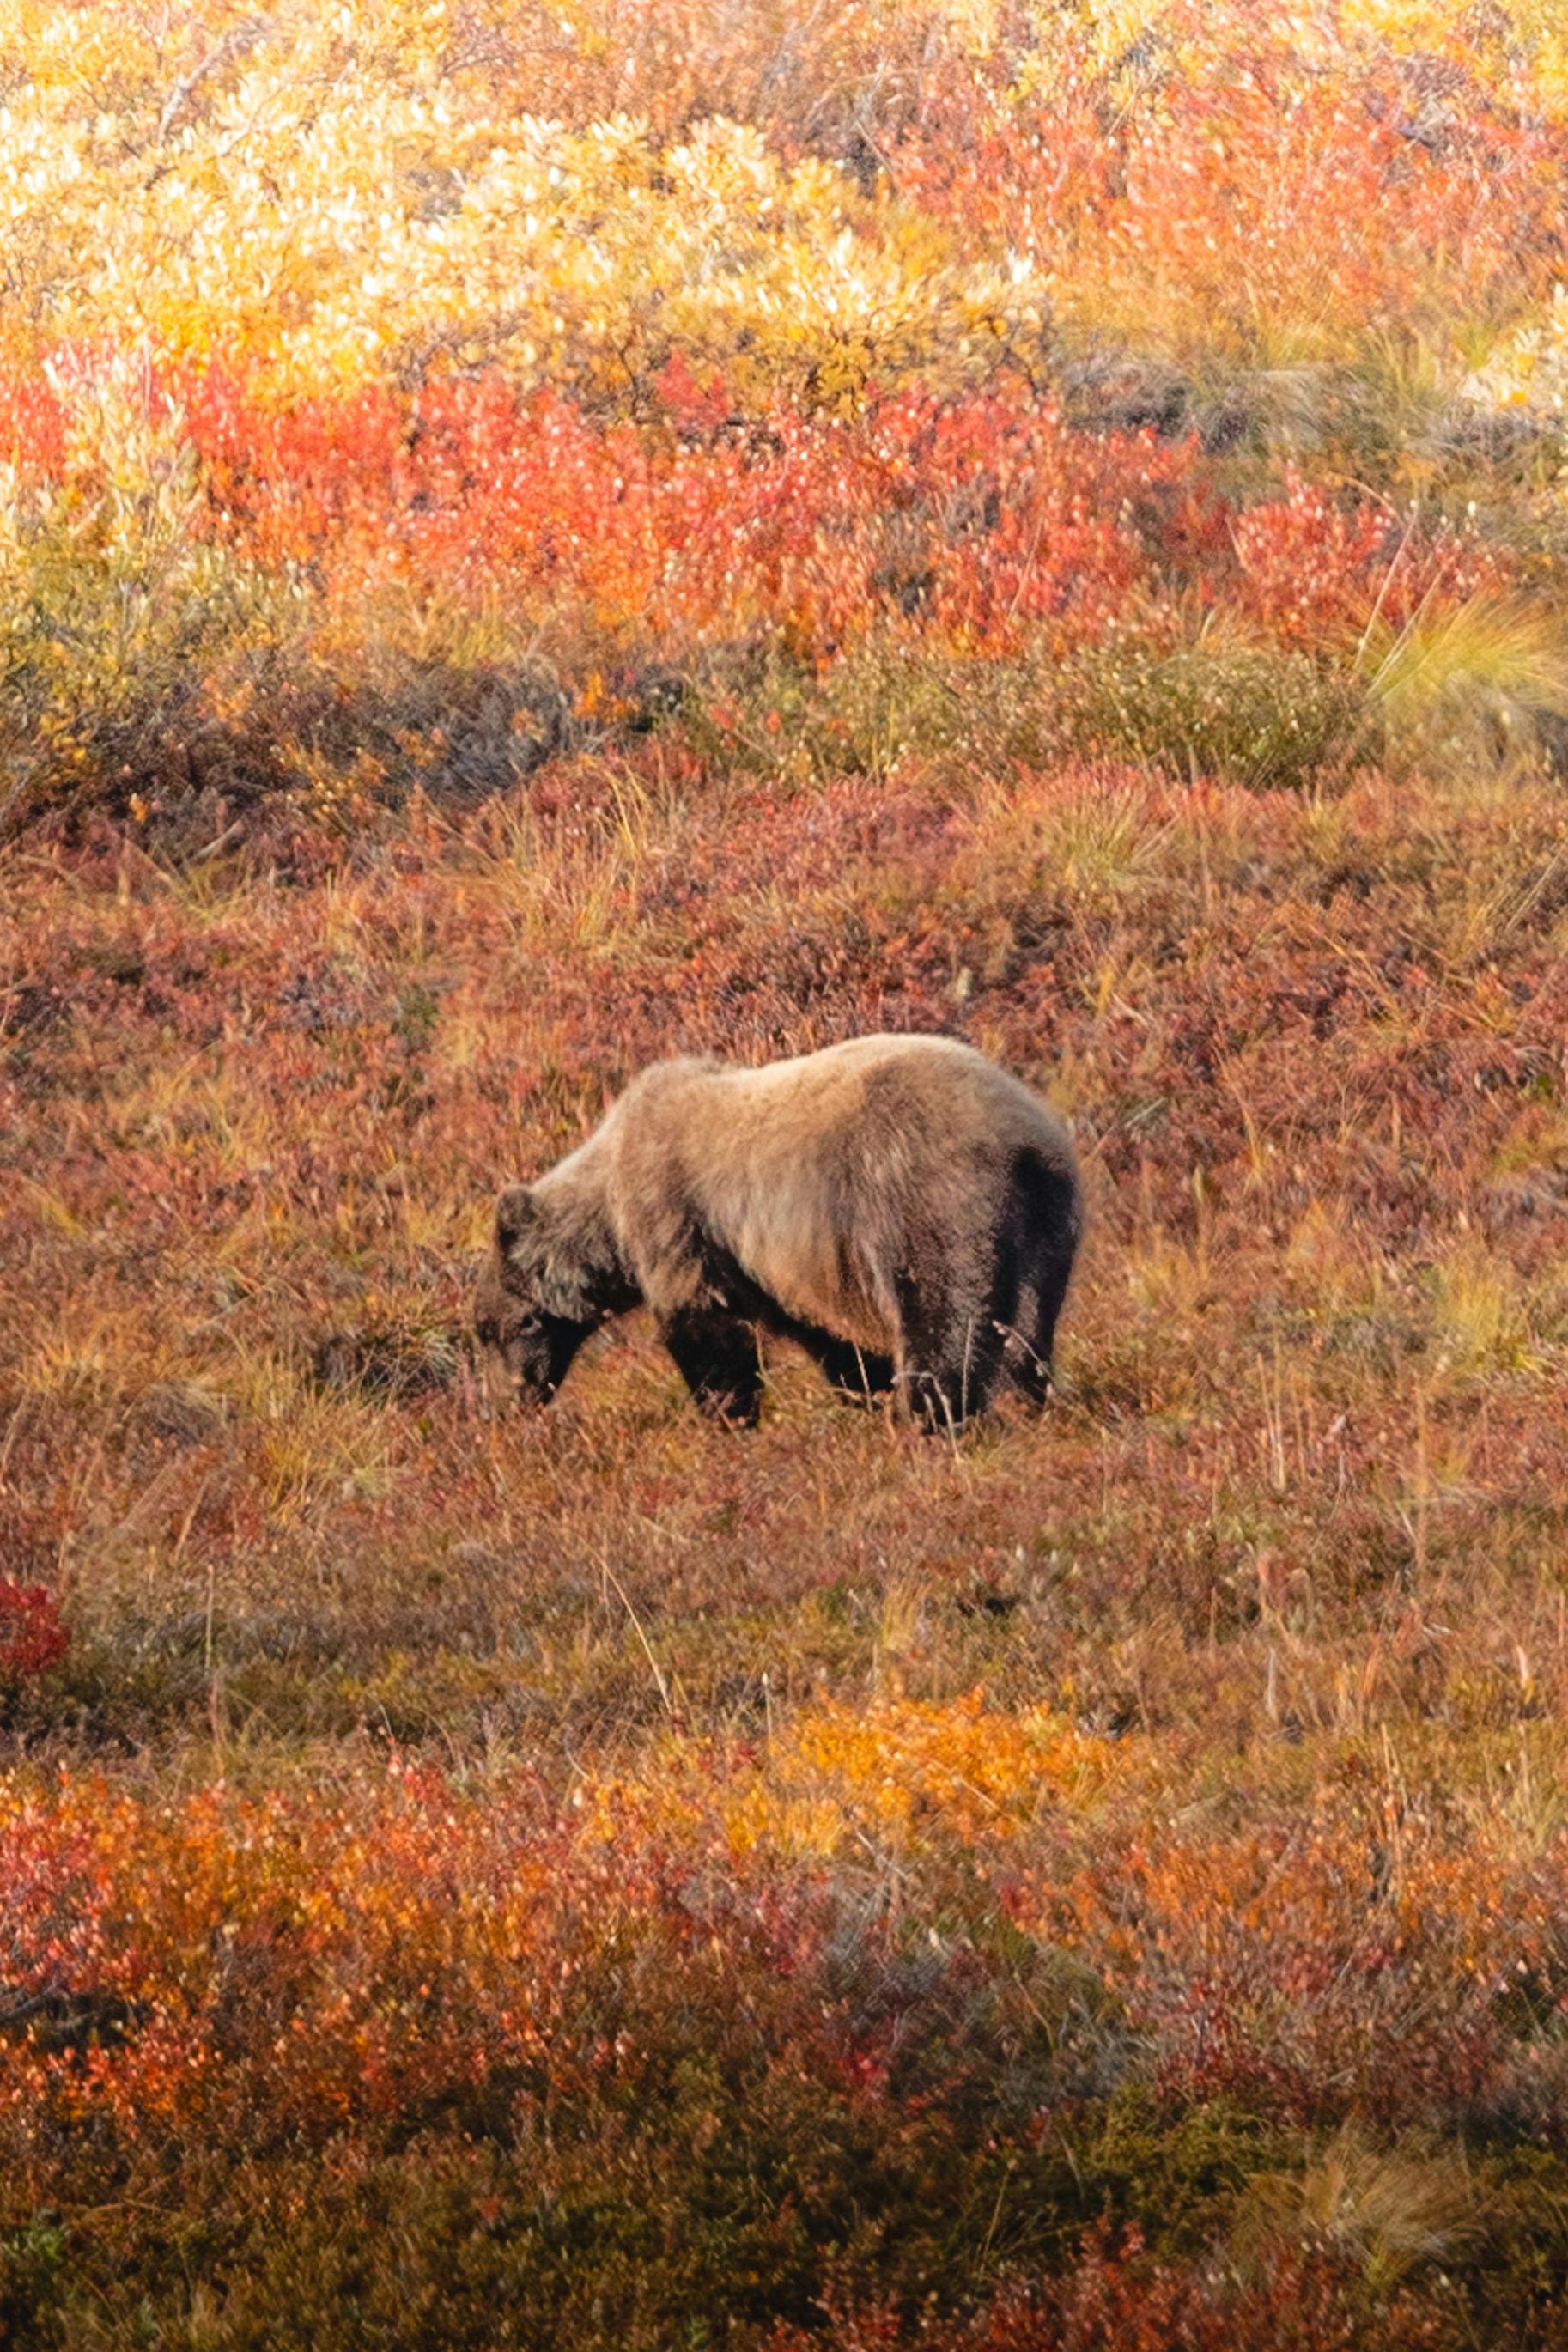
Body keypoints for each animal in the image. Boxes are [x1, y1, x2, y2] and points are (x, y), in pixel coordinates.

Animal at [474, 1033, 1082, 1430]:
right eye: (487, 1332)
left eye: (509, 1324)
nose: (511, 1401)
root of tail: (1022, 1134)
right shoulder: (767, 1264)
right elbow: (819, 1329)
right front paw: (864, 1383)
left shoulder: (679, 1219)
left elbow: (705, 1327)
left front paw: (729, 1415)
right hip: (1047, 1218)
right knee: (1030, 1318)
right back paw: (1028, 1395)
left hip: (921, 1194)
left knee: (941, 1306)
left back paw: (934, 1411)